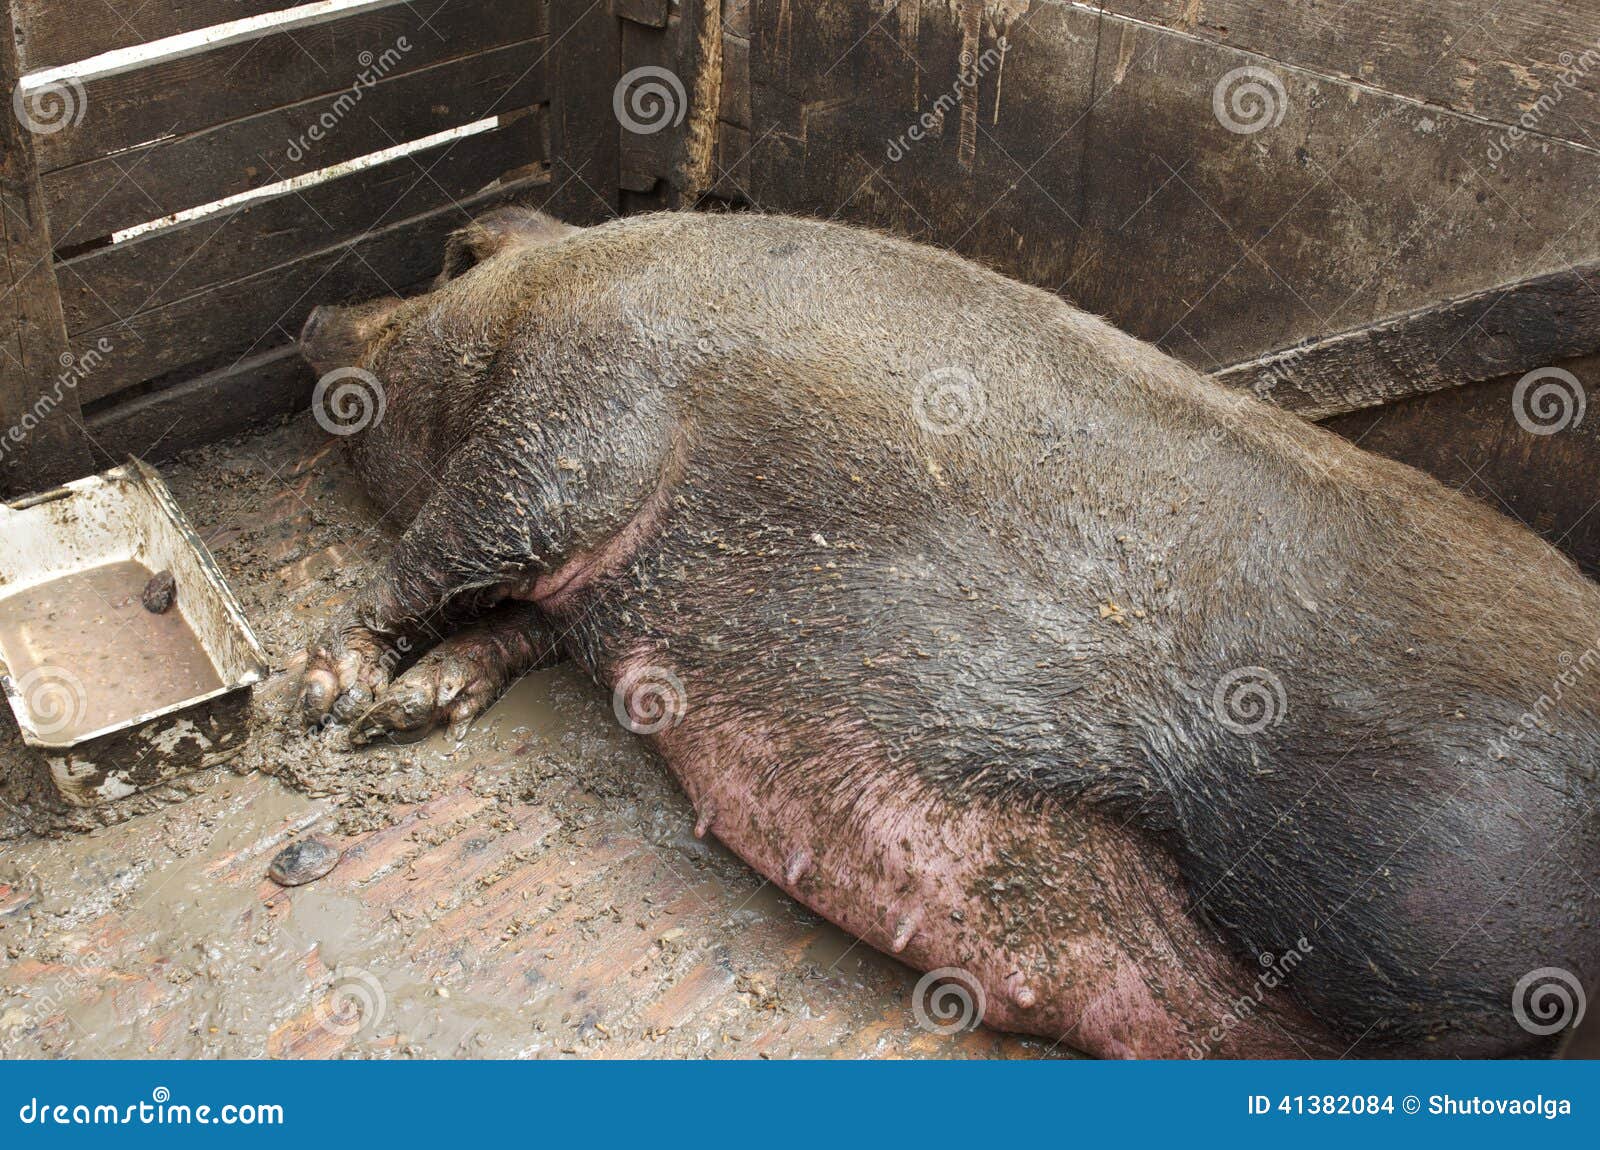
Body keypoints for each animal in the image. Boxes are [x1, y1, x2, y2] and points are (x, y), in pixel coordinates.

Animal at [297, 206, 1599, 1058]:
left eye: (438, 273)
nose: (316, 312)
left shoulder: (572, 427)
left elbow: (444, 549)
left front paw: (329, 700)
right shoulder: (588, 597)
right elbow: (509, 625)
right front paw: (411, 707)